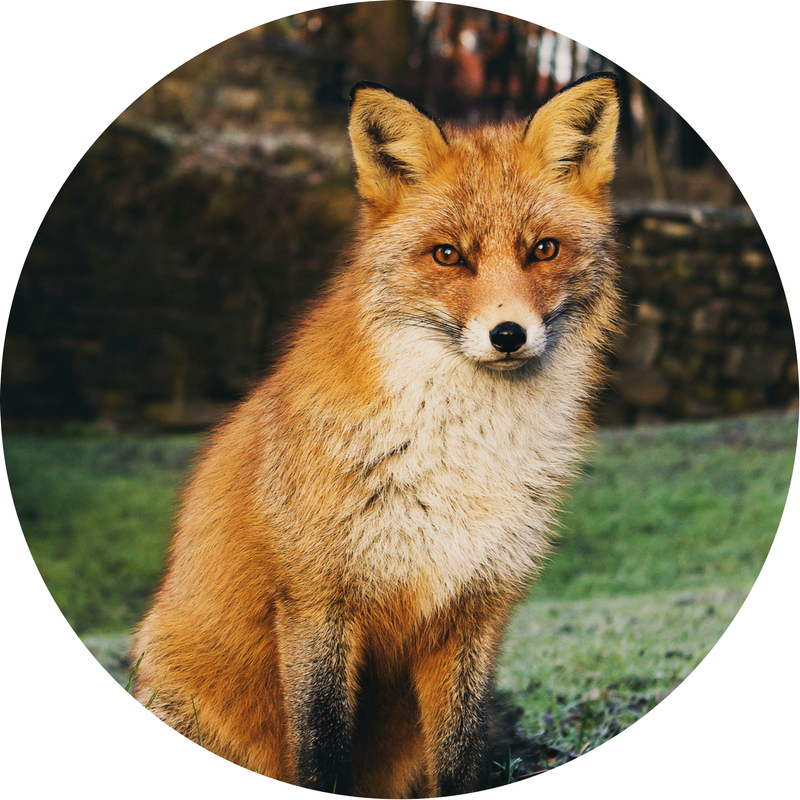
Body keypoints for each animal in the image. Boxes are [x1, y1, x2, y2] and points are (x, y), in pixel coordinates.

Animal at [132, 72, 621, 797]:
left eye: (544, 249)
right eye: (448, 255)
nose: (508, 335)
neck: (460, 460)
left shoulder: (475, 613)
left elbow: (461, 761)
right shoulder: (317, 603)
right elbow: (322, 754)